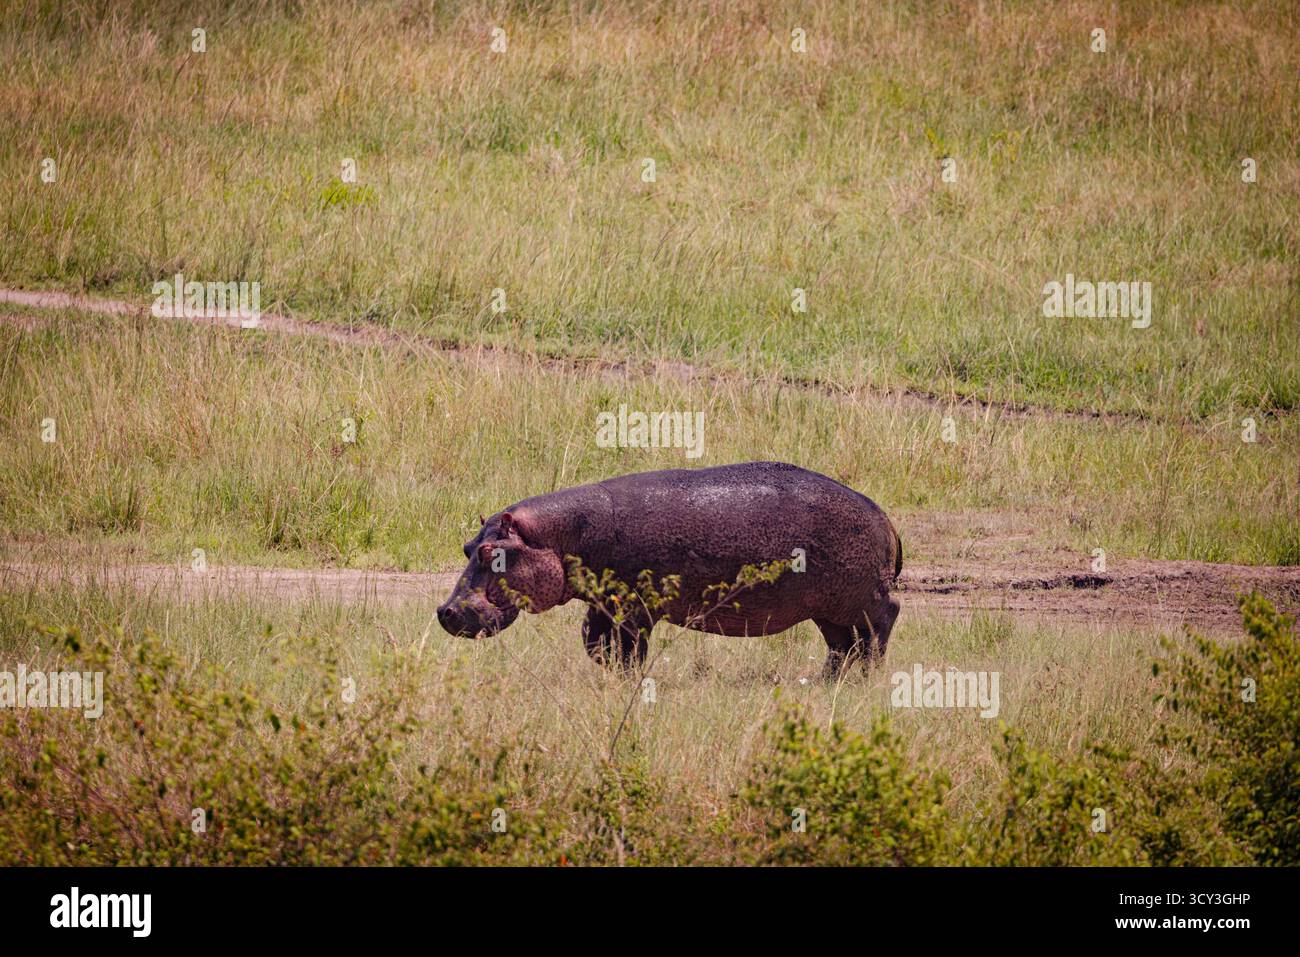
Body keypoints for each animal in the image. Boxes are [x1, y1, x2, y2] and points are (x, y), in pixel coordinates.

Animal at [437, 461, 902, 677]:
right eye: (467, 547)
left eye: (491, 553)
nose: (446, 611)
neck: (560, 535)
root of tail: (881, 513)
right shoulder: (606, 605)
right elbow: (593, 642)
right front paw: (609, 672)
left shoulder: (634, 610)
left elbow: (628, 650)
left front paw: (628, 678)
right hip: (828, 610)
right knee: (842, 646)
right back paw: (829, 681)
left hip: (859, 601)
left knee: (880, 625)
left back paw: (867, 676)